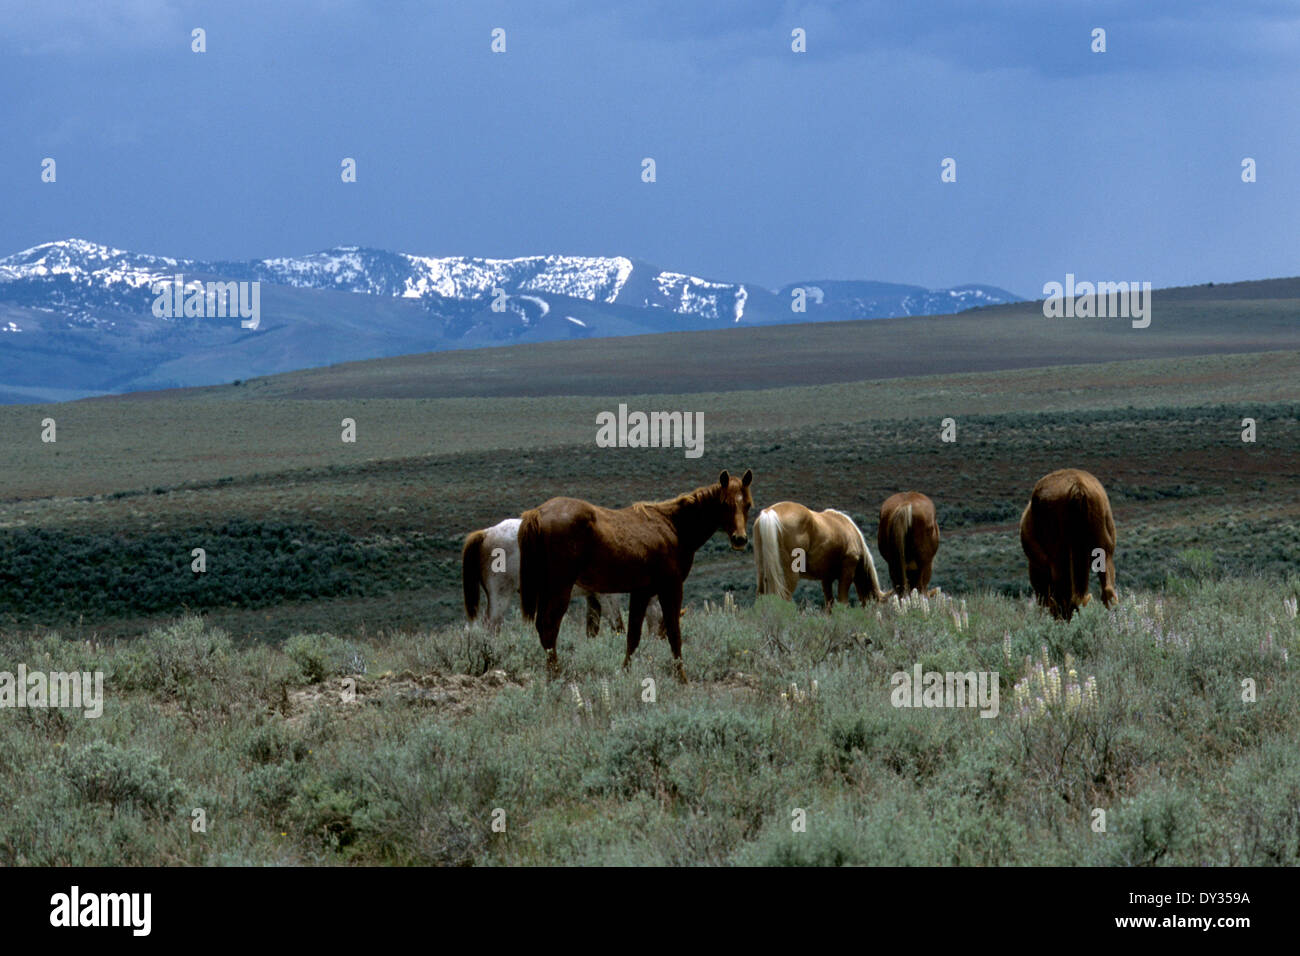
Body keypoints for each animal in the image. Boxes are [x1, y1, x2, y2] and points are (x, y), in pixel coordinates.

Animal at [462, 517, 664, 636]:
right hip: (501, 595)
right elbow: (618, 626)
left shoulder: (592, 598)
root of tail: (486, 533)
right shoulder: (607, 596)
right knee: (491, 626)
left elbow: (592, 629)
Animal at [519, 469, 753, 681]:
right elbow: (674, 633)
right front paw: (682, 678)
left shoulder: (641, 592)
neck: (672, 526)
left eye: (748, 504)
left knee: (542, 627)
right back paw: (556, 676)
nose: (740, 539)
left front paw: (624, 673)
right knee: (549, 627)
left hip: (547, 589)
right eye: (725, 504)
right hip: (560, 588)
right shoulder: (671, 588)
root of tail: (537, 513)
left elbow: (633, 636)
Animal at [753, 501, 885, 608]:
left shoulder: (826, 578)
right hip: (789, 575)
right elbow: (843, 602)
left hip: (763, 573)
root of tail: (769, 512)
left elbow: (829, 604)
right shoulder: (847, 571)